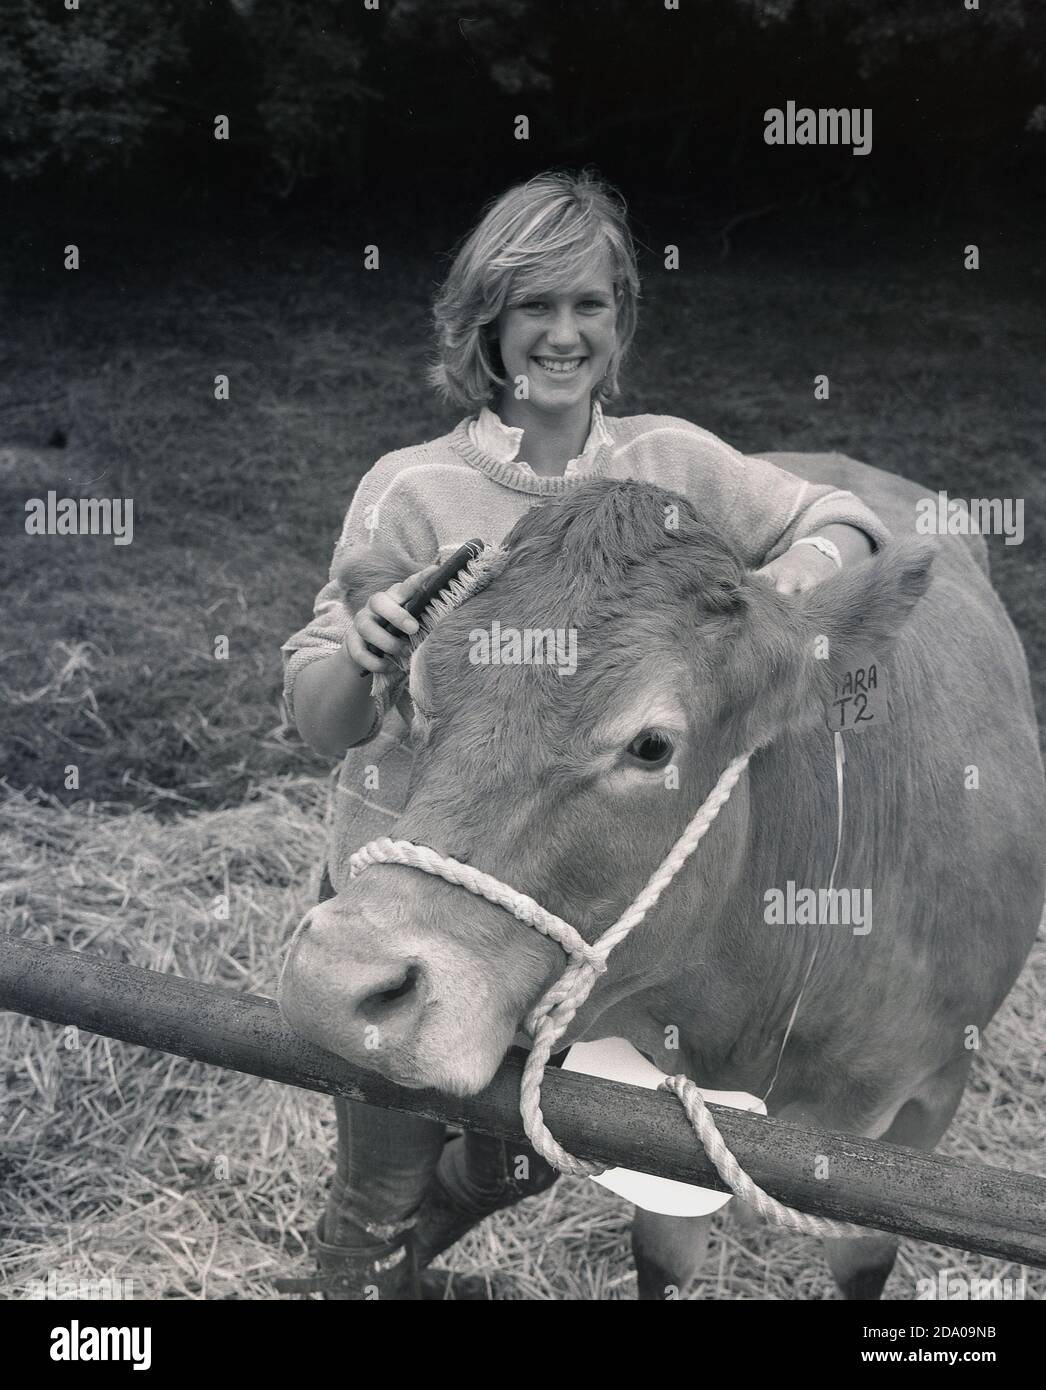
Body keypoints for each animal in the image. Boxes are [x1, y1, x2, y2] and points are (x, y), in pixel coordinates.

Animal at [280, 452, 1045, 1300]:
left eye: (651, 746)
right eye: (416, 688)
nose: (336, 979)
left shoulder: (926, 1095)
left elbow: (864, 1255)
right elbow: (665, 1250)